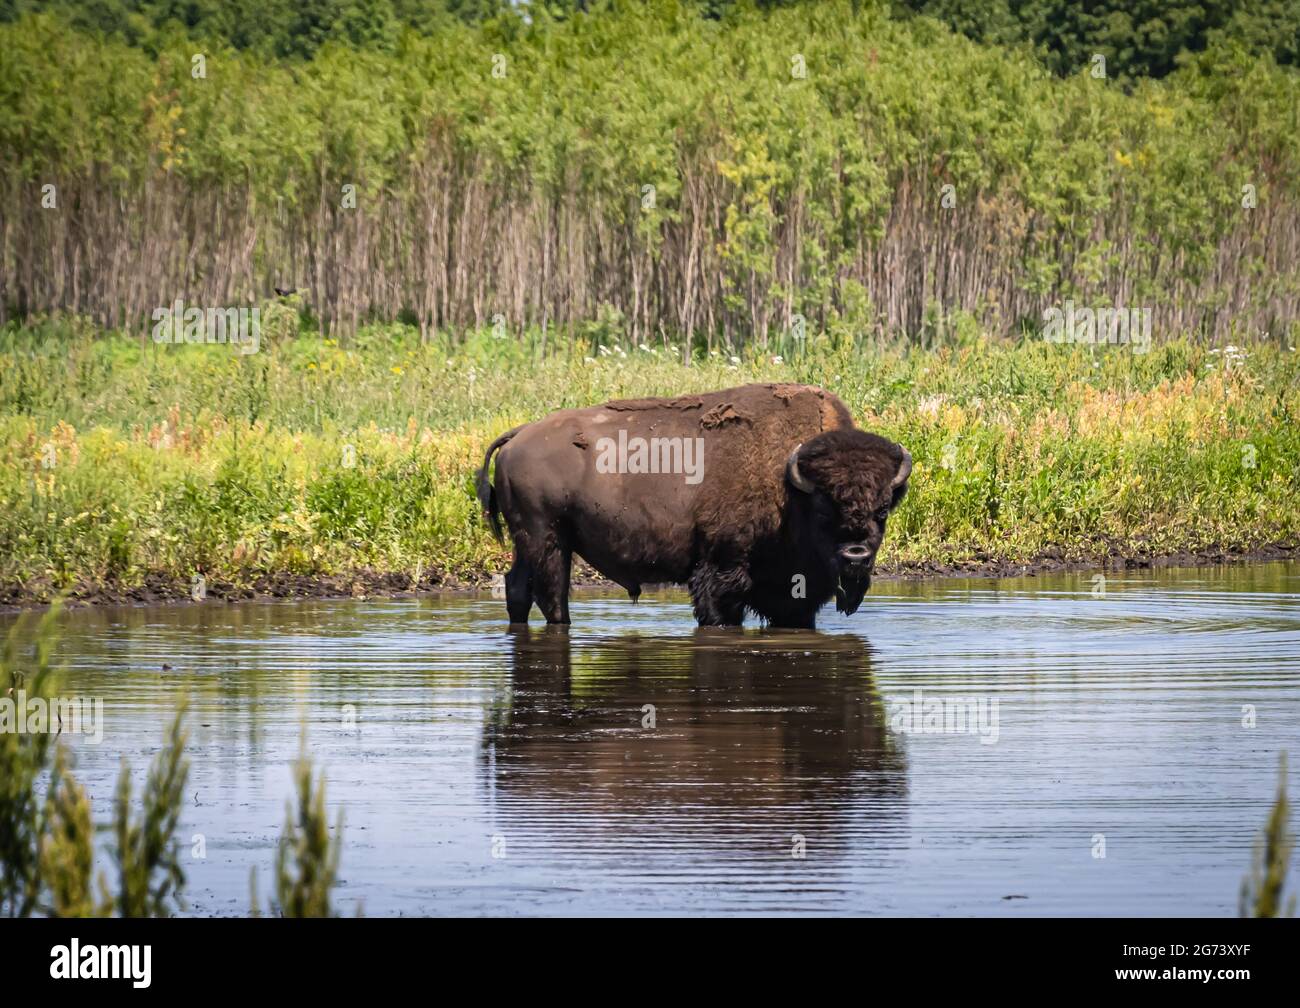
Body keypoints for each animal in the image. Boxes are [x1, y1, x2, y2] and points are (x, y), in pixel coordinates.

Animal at [476, 383, 910, 627]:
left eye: (883, 511)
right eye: (823, 509)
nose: (855, 555)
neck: (788, 485)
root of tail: (518, 437)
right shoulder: (722, 570)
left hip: (530, 543)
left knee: (518, 587)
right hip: (547, 540)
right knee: (551, 594)